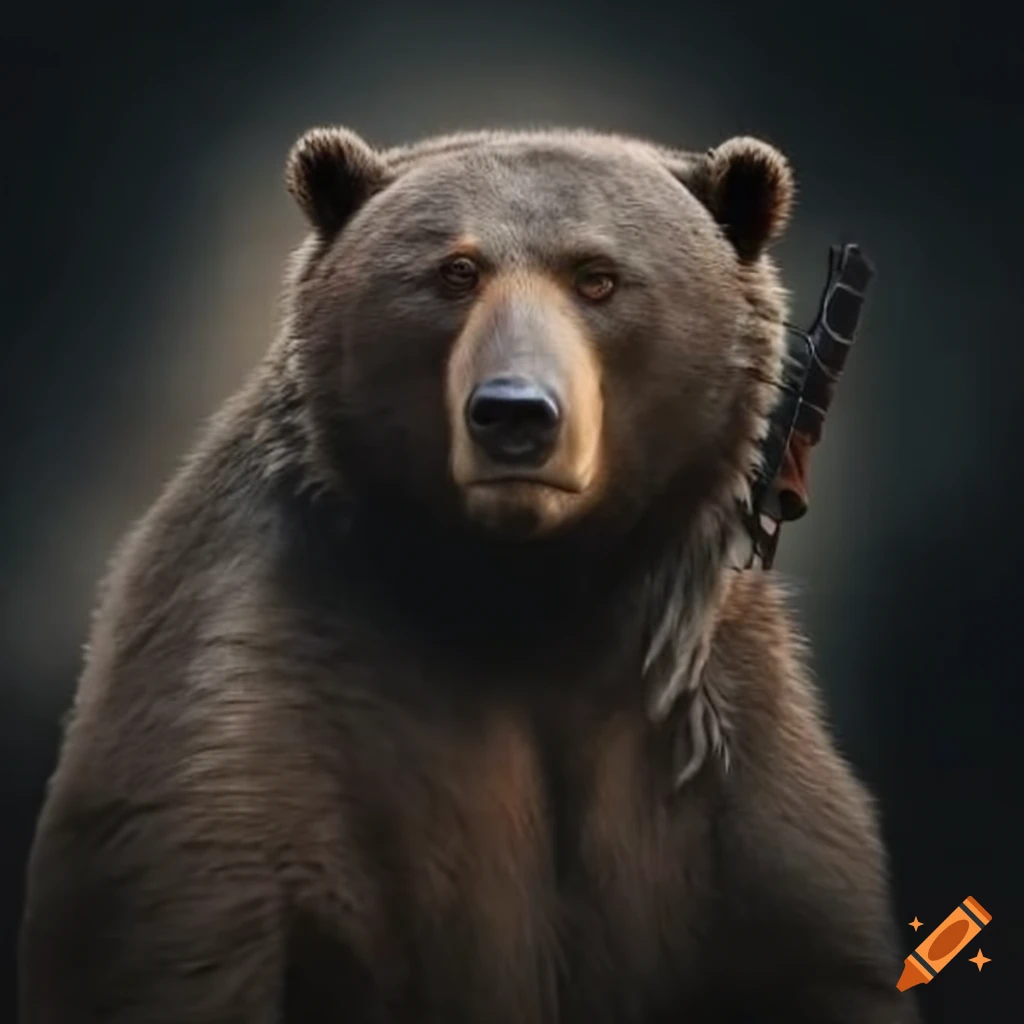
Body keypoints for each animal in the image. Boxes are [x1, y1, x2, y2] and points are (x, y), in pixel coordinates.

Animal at [19, 125, 920, 1024]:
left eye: (598, 277)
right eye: (456, 271)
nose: (515, 414)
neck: (514, 591)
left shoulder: (714, 728)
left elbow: (804, 935)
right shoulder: (257, 666)